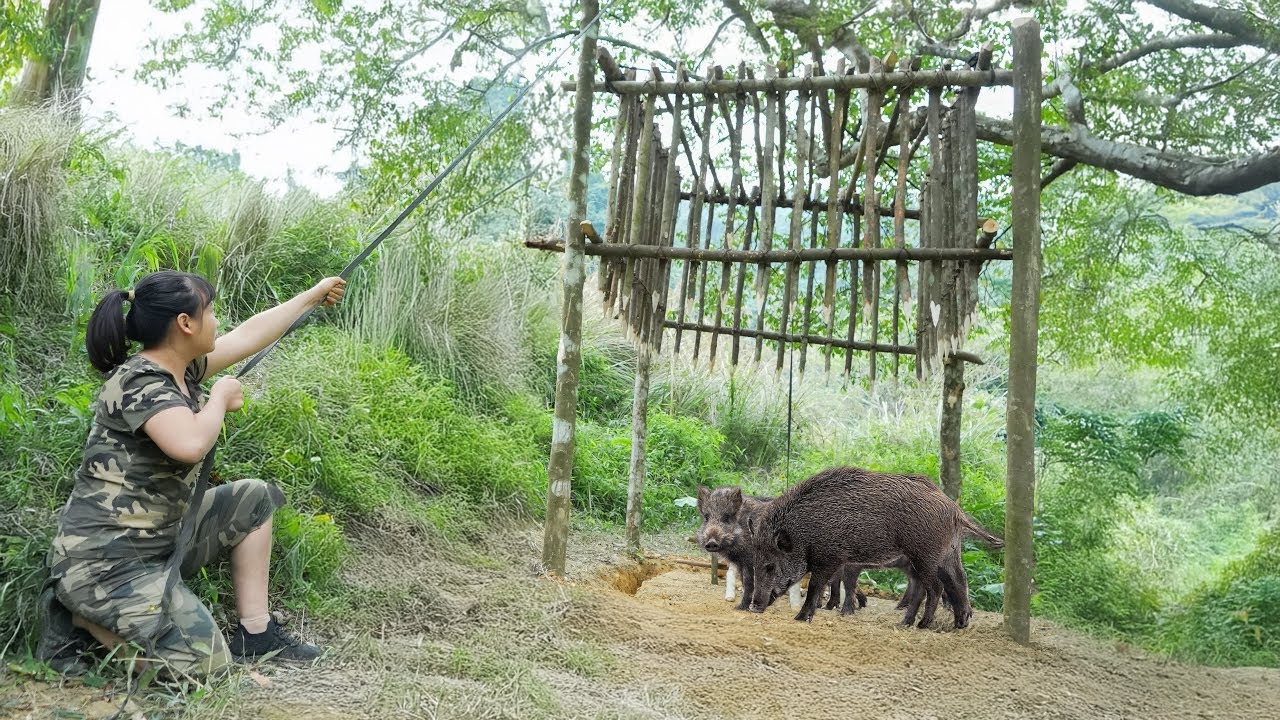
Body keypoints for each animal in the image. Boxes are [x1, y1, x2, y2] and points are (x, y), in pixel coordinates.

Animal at [746, 466, 1002, 629]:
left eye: (770, 565)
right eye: (755, 563)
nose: (754, 607)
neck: (804, 531)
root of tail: (954, 509)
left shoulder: (830, 557)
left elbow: (817, 587)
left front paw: (801, 618)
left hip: (925, 555)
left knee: (936, 587)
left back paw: (922, 624)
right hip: (948, 553)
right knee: (959, 580)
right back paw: (955, 623)